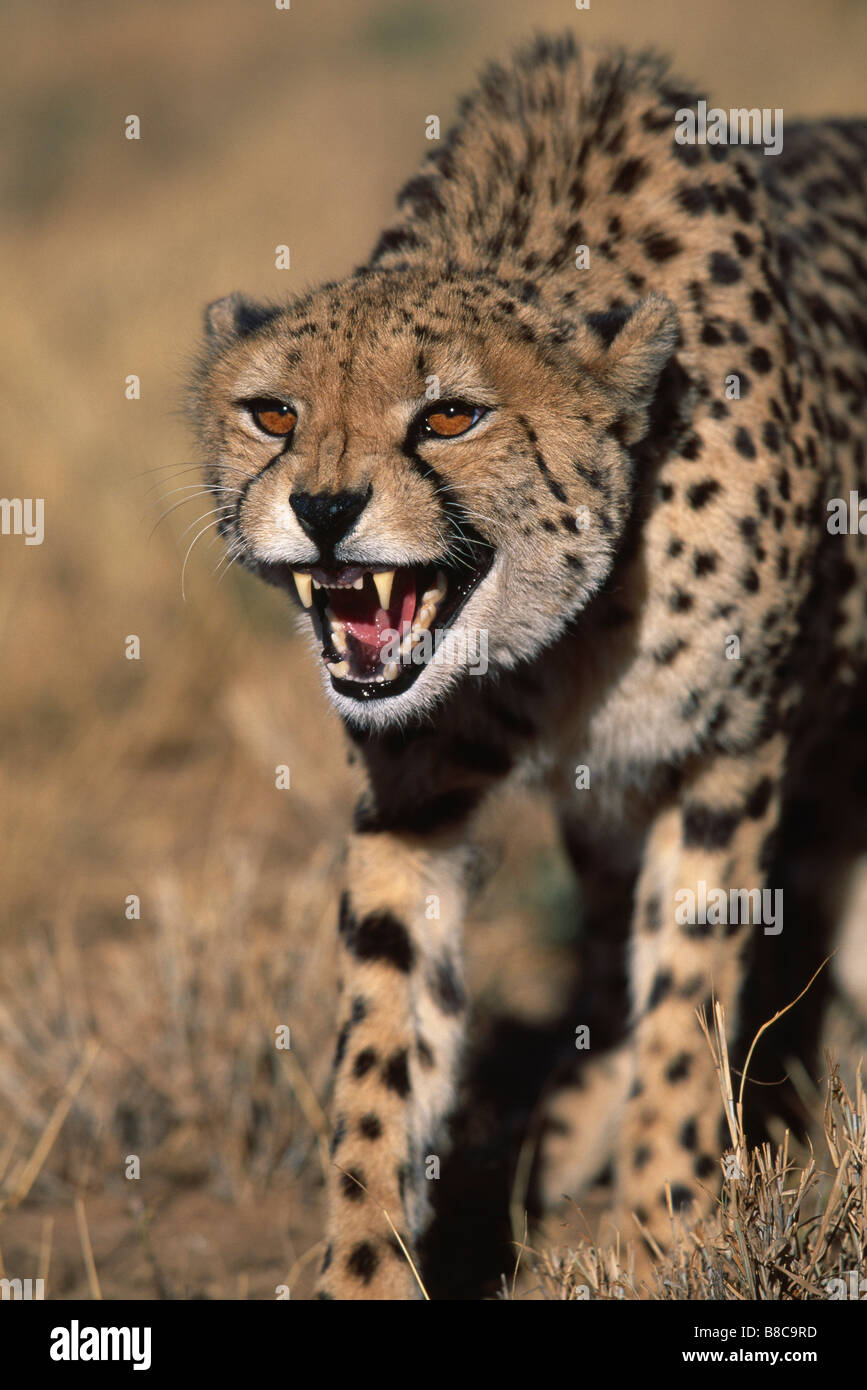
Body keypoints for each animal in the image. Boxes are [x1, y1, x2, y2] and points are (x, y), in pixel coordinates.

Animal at [191, 34, 867, 1299]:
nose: (324, 510)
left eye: (451, 416)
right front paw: (367, 1262)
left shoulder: (729, 753)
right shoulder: (413, 790)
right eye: (273, 414)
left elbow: (686, 1008)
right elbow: (381, 1039)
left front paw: (662, 1240)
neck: (553, 638)